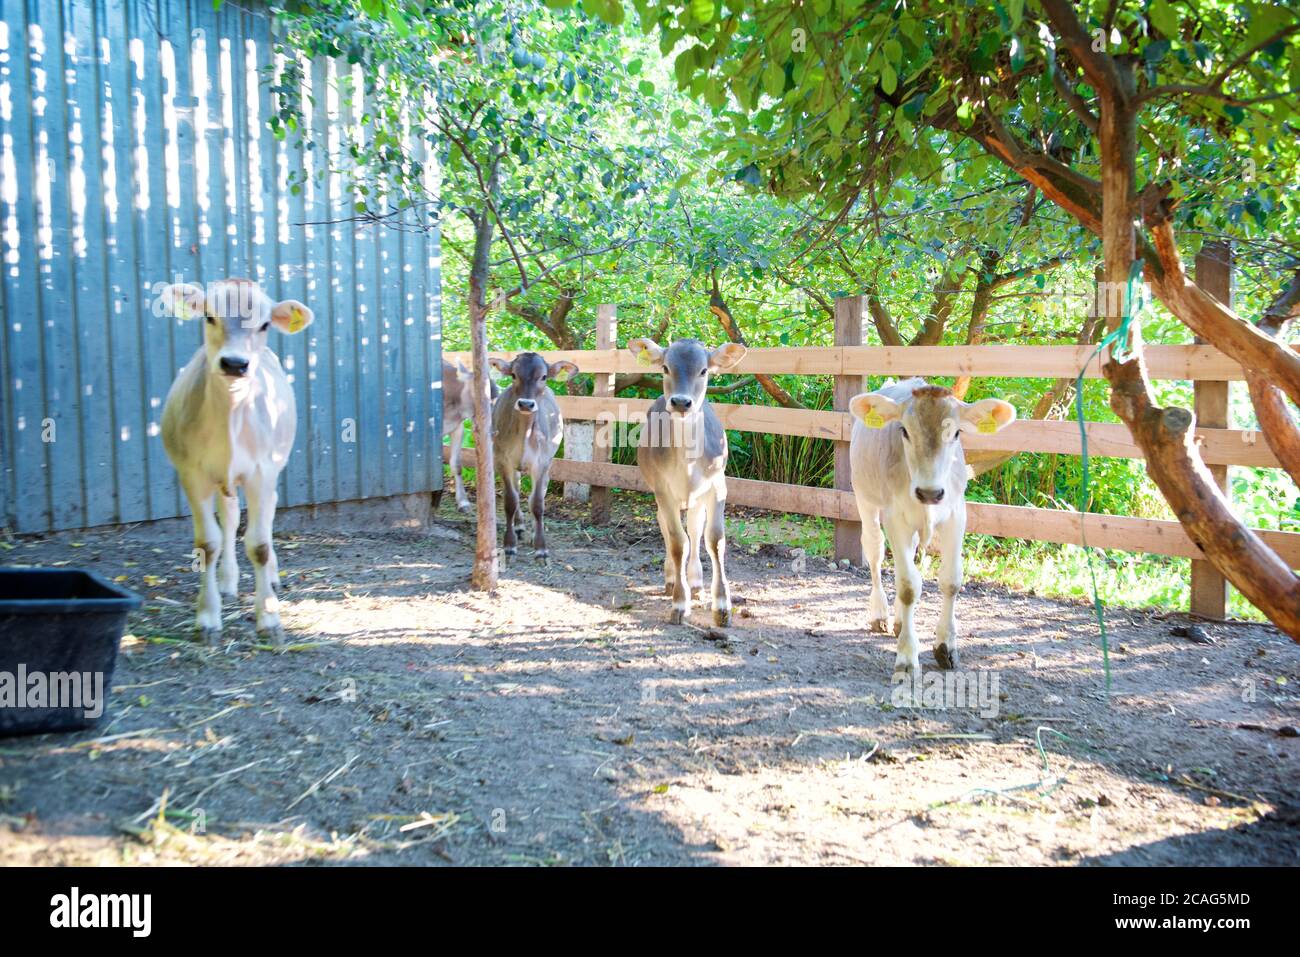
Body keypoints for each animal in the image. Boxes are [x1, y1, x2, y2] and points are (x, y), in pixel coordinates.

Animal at [160, 279, 312, 645]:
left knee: (266, 516)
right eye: (209, 316)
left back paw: (272, 576)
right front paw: (207, 618)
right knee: (228, 518)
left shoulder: (263, 472)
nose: (234, 363)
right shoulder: (192, 474)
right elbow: (208, 543)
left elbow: (259, 544)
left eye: (265, 324)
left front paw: (269, 619)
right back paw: (228, 581)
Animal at [488, 352, 578, 560]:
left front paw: (540, 548)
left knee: (538, 493)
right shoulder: (502, 460)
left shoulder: (542, 462)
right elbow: (510, 500)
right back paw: (519, 526)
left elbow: (537, 502)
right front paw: (509, 545)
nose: (526, 404)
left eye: (543, 376)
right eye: (514, 375)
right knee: (517, 488)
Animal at [626, 337, 746, 626]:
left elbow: (714, 540)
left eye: (703, 371)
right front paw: (680, 604)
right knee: (668, 530)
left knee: (694, 528)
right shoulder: (662, 490)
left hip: (697, 498)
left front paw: (722, 606)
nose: (681, 402)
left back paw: (696, 582)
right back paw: (672, 579)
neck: (688, 464)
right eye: (666, 368)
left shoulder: (718, 486)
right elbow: (677, 542)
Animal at [848, 377, 1015, 677]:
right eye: (904, 430)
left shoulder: (956, 514)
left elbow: (950, 581)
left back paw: (900, 621)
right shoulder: (895, 516)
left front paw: (946, 646)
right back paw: (880, 613)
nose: (929, 492)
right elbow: (908, 587)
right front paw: (906, 657)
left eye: (957, 433)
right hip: (864, 496)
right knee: (874, 550)